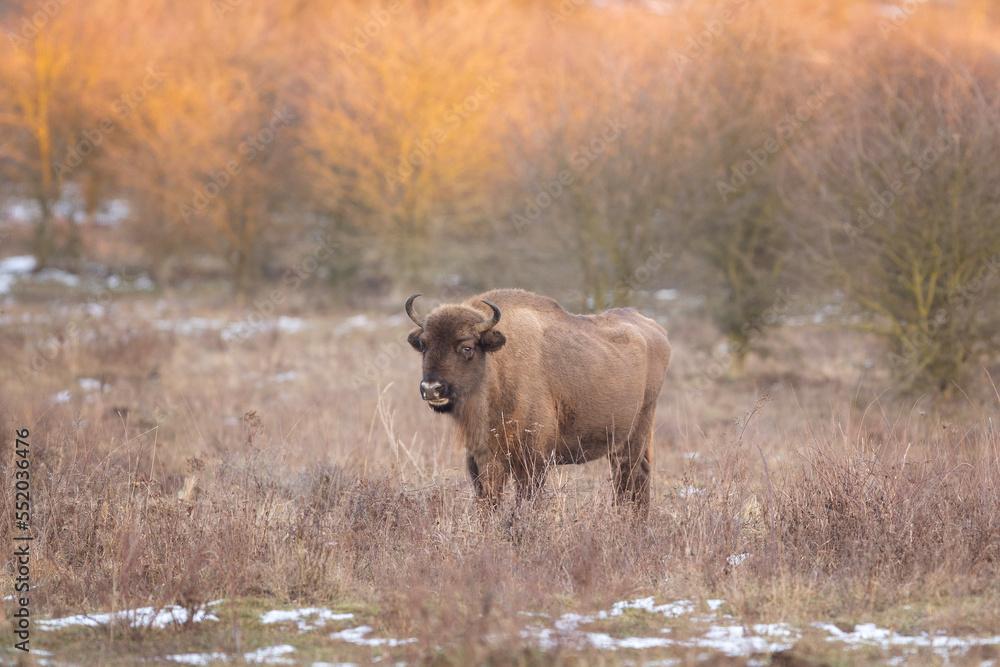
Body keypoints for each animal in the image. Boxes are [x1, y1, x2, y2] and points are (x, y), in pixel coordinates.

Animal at [405, 288, 671, 517]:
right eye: (424, 346)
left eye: (467, 347)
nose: (431, 388)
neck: (496, 367)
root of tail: (657, 331)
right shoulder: (482, 458)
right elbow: (488, 501)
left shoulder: (533, 460)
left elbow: (526, 500)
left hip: (636, 433)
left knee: (633, 476)